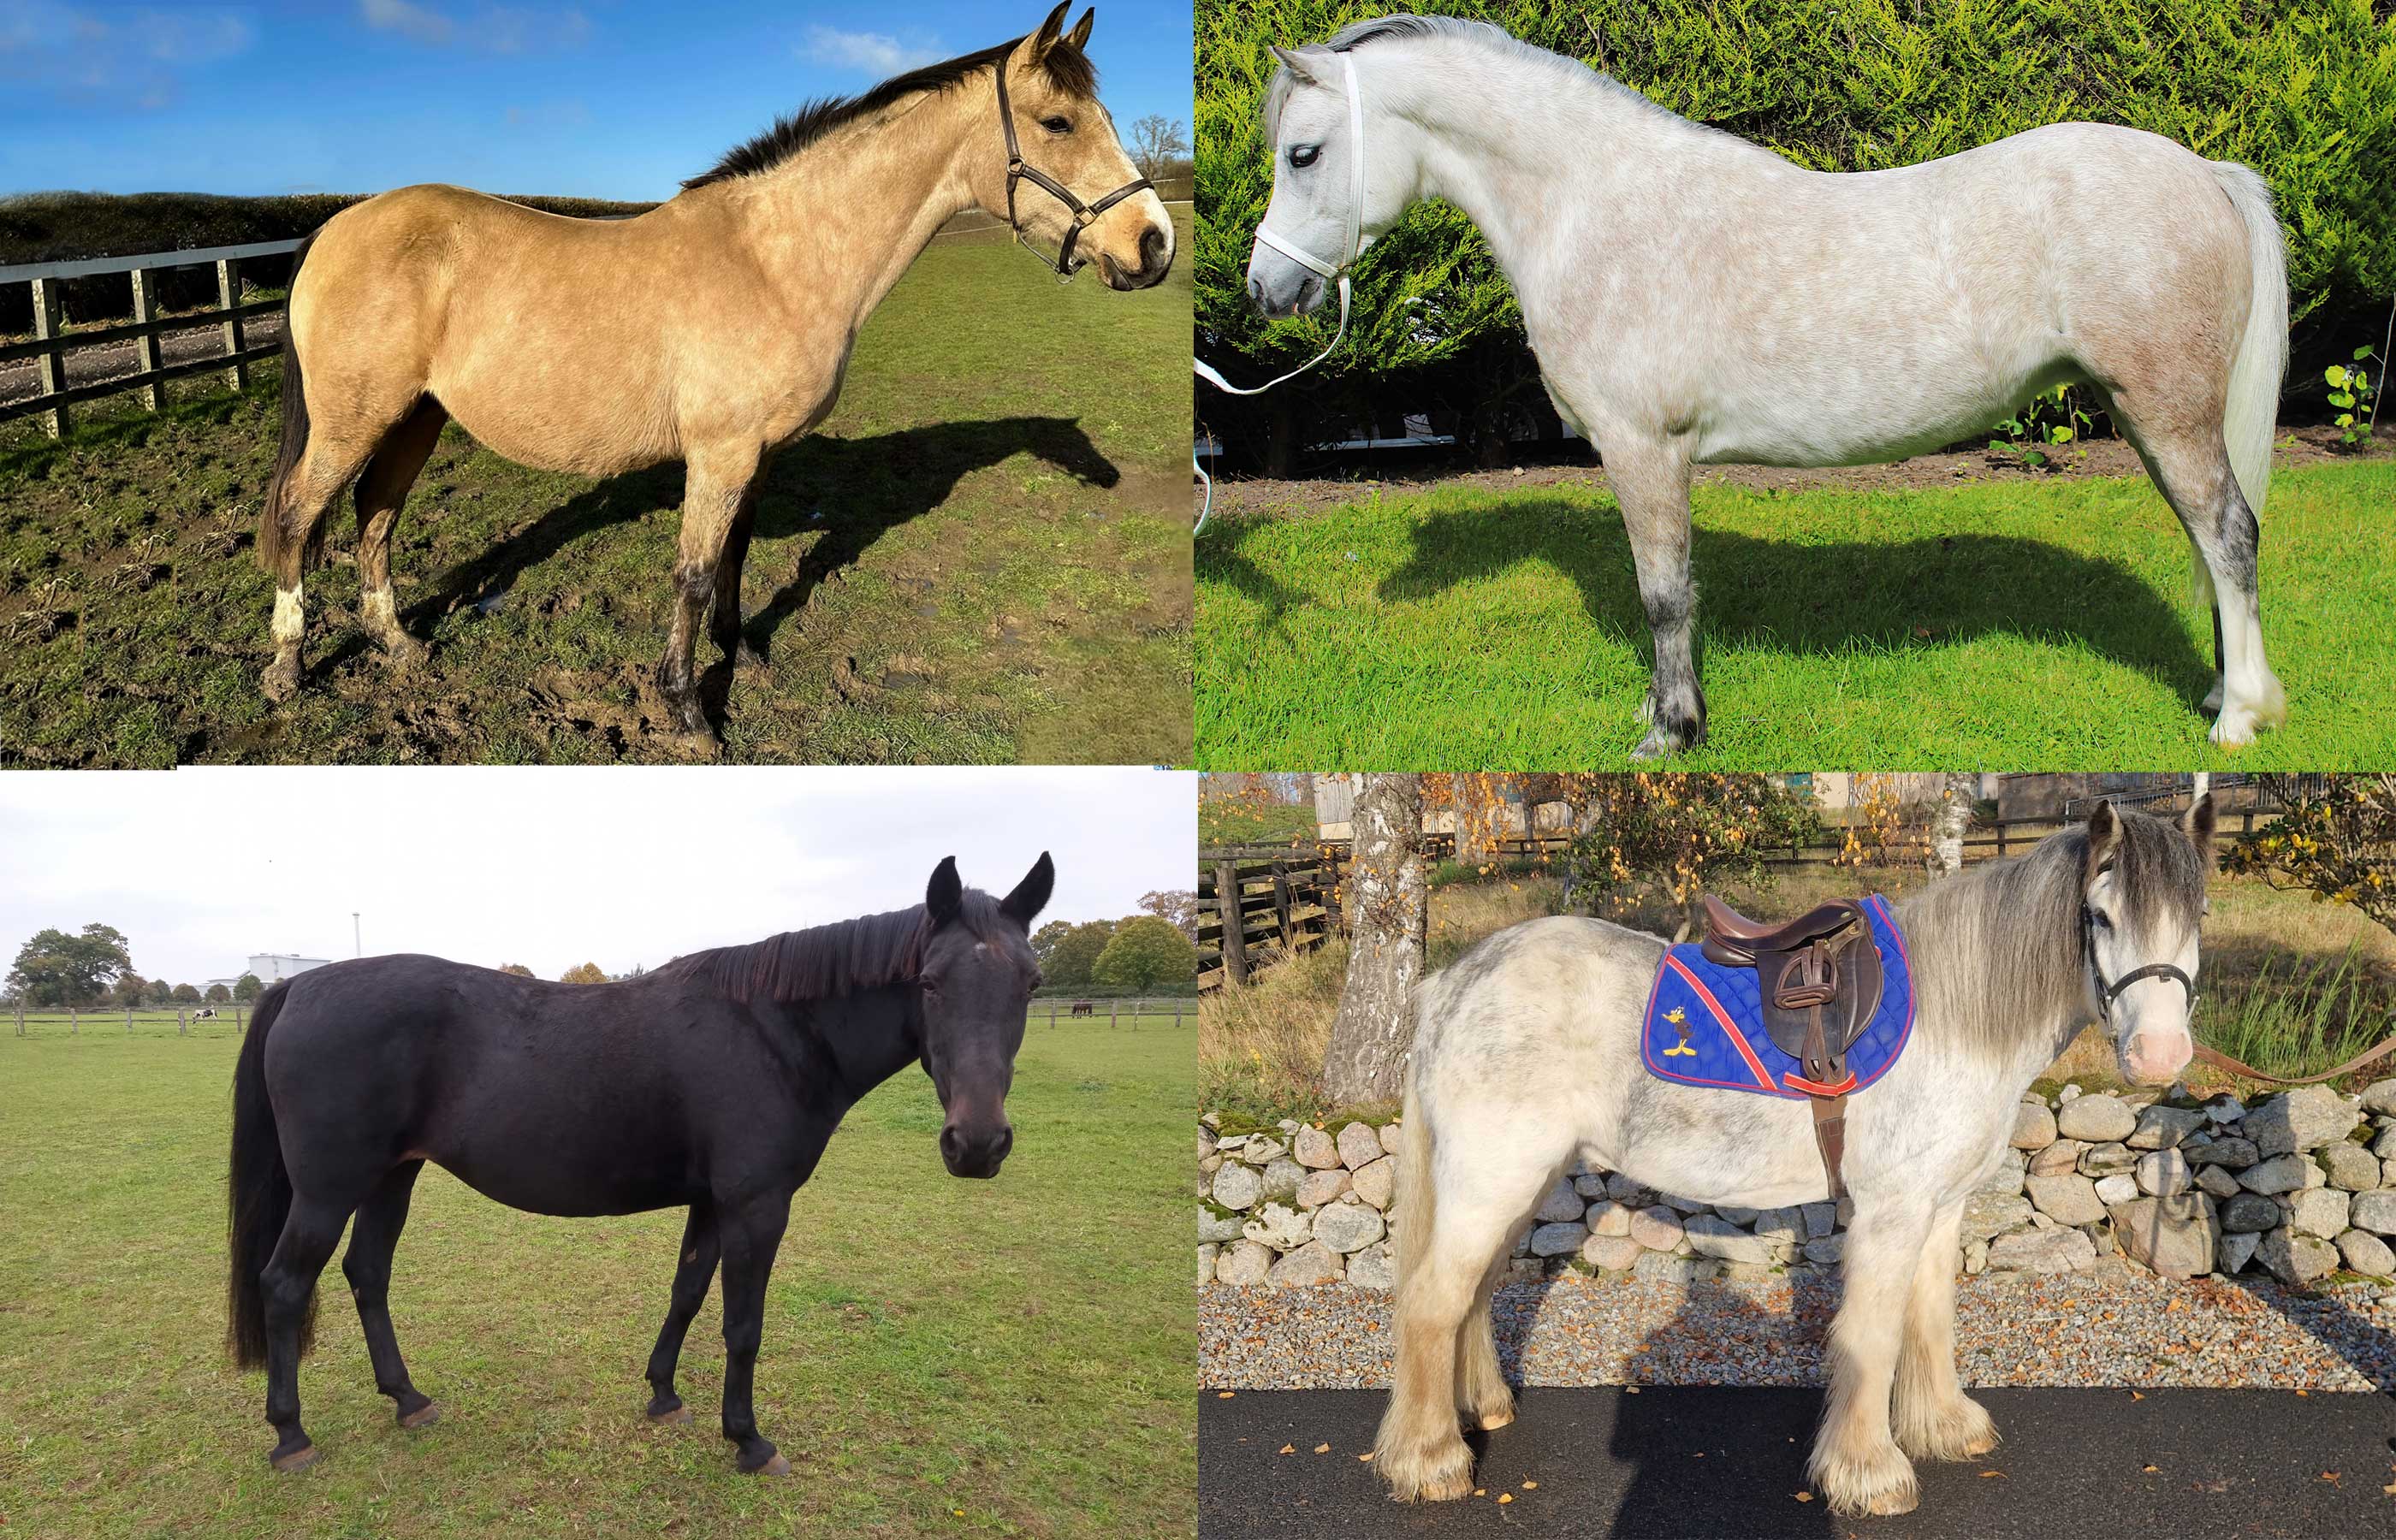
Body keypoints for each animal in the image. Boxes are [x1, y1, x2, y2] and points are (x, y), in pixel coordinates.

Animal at [225, 852, 1053, 1476]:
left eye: (1030, 983)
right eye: (929, 981)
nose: (978, 1144)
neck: (773, 1030)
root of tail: (299, 982)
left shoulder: (713, 1201)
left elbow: (687, 1293)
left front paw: (664, 1396)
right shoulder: (757, 1205)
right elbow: (742, 1324)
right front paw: (749, 1441)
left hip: (392, 1177)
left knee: (367, 1274)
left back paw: (408, 1399)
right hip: (327, 1190)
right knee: (284, 1285)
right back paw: (290, 1436)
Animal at [255, 4, 1173, 738]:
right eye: (1058, 122)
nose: (1153, 245)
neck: (774, 260)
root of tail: (336, 226)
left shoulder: (755, 454)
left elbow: (734, 555)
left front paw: (744, 651)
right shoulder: (720, 453)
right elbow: (694, 574)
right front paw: (687, 707)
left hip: (416, 415)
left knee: (375, 517)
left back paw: (398, 645)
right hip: (355, 420)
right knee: (301, 517)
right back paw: (289, 668)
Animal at [1238, 15, 2287, 757]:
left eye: (1303, 154)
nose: (1266, 288)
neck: (1593, 208)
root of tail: (2203, 172)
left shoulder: (1643, 451)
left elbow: (1663, 593)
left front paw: (1670, 734)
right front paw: (1661, 712)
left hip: (2166, 409)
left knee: (2230, 534)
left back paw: (2238, 717)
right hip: (2146, 413)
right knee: (2206, 538)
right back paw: (2219, 689)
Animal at [1376, 798, 2214, 1517]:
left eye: (2197, 917)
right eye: (2100, 916)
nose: (2160, 1055)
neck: (1956, 1018)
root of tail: (1450, 982)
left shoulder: (1941, 1207)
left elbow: (1931, 1321)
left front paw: (1944, 1427)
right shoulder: (1892, 1211)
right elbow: (1872, 1336)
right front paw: (1870, 1473)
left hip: (1518, 1186)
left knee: (1476, 1293)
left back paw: (1482, 1408)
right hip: (1491, 1183)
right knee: (1431, 1302)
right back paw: (1430, 1460)